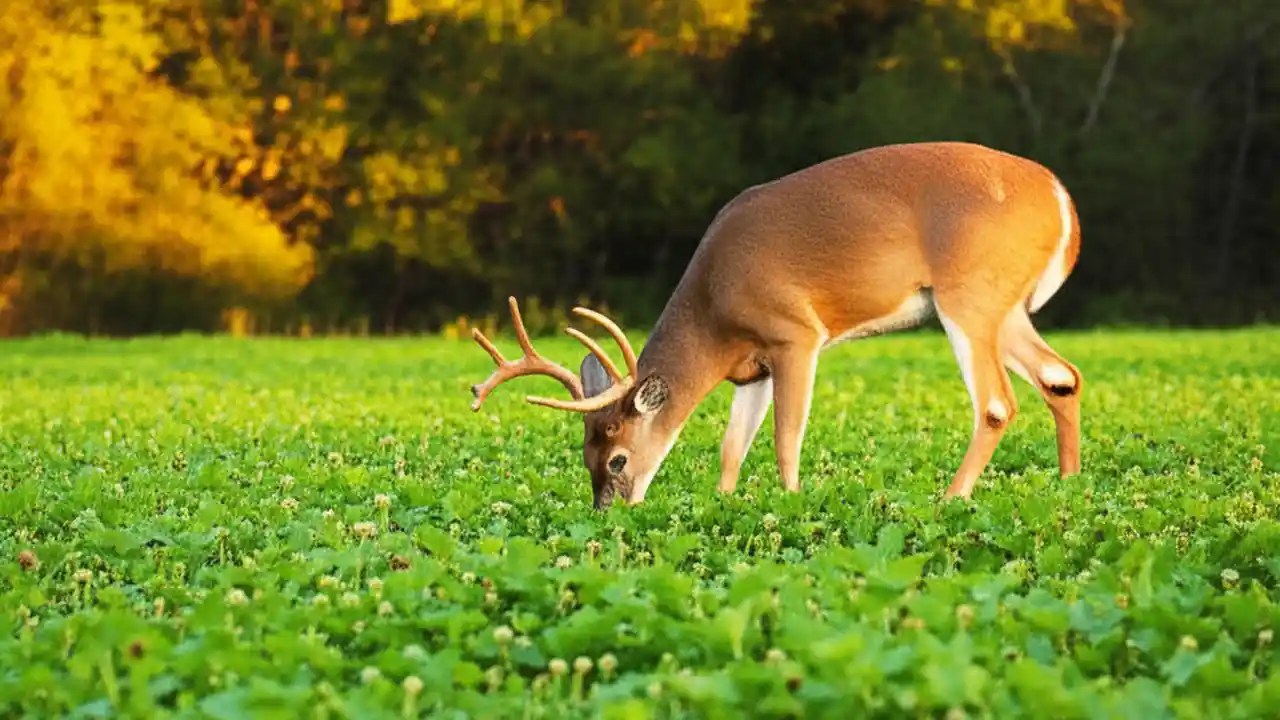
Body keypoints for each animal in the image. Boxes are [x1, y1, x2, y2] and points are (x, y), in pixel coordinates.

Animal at [468, 141, 1083, 509]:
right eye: (585, 454)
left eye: (618, 457)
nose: (607, 510)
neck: (715, 308)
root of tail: (1062, 202)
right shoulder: (753, 365)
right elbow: (731, 446)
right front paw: (723, 502)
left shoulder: (795, 333)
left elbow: (787, 436)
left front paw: (791, 500)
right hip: (1004, 307)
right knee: (1062, 377)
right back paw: (1067, 483)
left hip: (969, 295)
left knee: (997, 403)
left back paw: (952, 498)